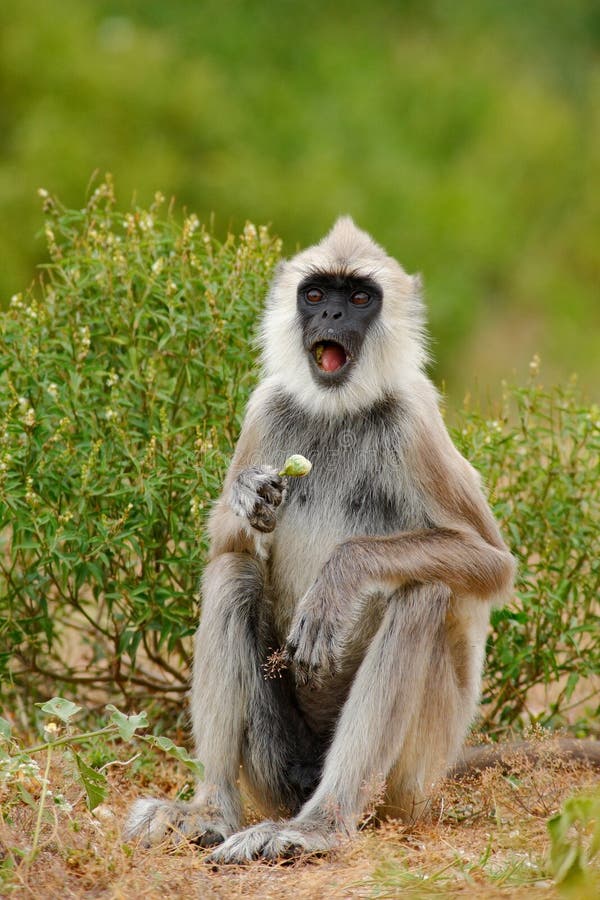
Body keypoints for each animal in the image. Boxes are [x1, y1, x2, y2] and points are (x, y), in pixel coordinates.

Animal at [125, 216, 519, 861]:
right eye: (315, 294)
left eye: (358, 298)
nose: (332, 316)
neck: (338, 410)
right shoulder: (266, 407)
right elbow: (224, 544)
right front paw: (249, 497)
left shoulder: (414, 421)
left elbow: (492, 563)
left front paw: (341, 576)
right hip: (273, 768)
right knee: (232, 574)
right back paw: (212, 812)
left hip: (411, 777)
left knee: (423, 594)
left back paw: (320, 826)